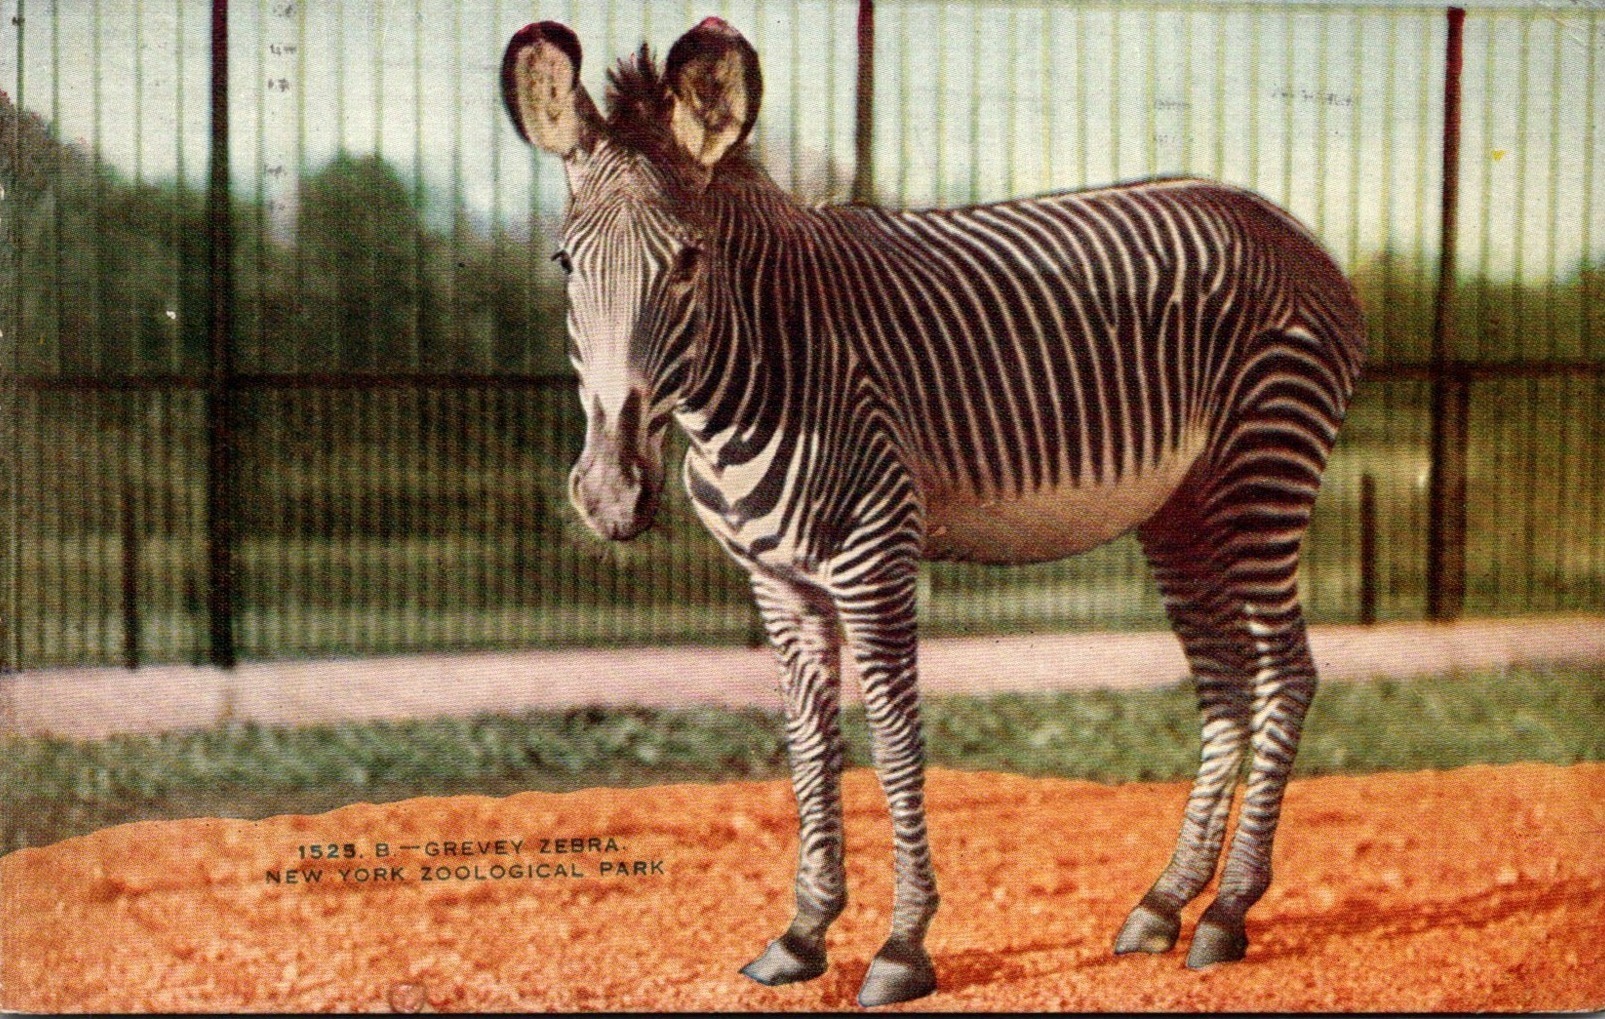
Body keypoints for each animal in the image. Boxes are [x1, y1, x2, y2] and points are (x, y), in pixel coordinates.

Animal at [501, 17, 1365, 1008]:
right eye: (565, 262)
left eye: (686, 262)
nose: (611, 492)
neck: (763, 364)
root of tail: (1285, 224)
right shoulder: (778, 582)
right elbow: (808, 745)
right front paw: (801, 934)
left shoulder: (874, 557)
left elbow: (891, 734)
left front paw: (901, 946)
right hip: (1181, 508)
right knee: (1225, 678)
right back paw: (1163, 904)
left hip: (1263, 467)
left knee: (1286, 672)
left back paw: (1227, 912)